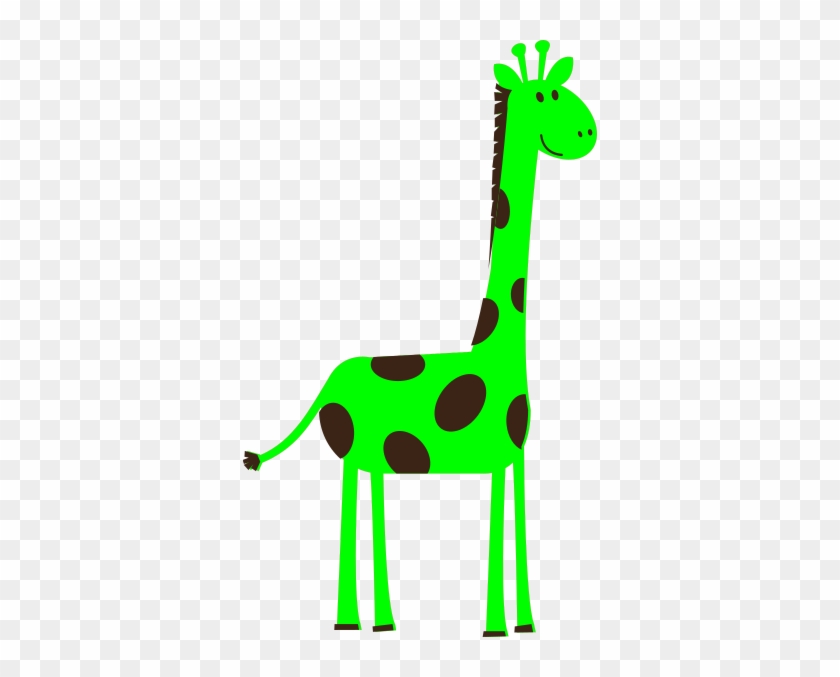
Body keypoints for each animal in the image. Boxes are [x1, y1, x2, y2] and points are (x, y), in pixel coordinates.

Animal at [243, 40, 597, 636]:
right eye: (547, 95)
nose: (587, 134)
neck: (494, 349)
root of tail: (328, 383)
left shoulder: (514, 457)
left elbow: (518, 523)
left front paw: (525, 623)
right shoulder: (495, 458)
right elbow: (497, 525)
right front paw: (494, 627)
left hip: (372, 455)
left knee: (366, 498)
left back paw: (373, 620)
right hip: (359, 451)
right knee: (356, 504)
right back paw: (360, 621)